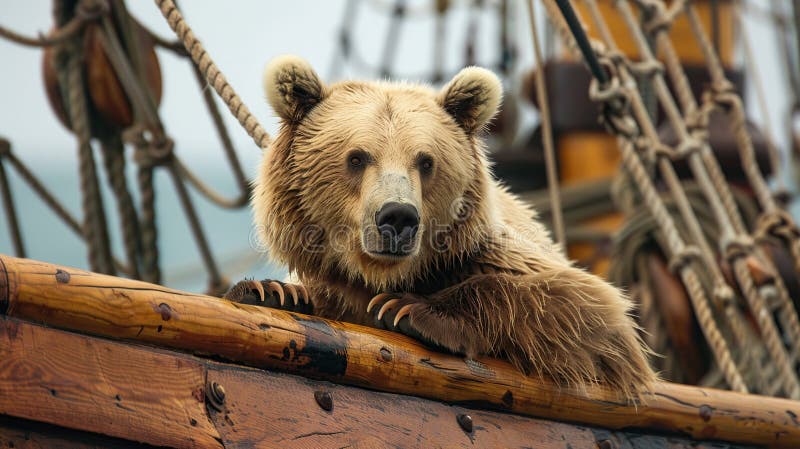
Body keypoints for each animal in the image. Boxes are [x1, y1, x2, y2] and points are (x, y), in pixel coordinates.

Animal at [225, 55, 656, 400]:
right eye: (357, 157)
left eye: (425, 160)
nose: (397, 216)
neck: (383, 274)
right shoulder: (335, 284)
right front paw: (272, 292)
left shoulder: (489, 256)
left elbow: (589, 314)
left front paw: (407, 310)